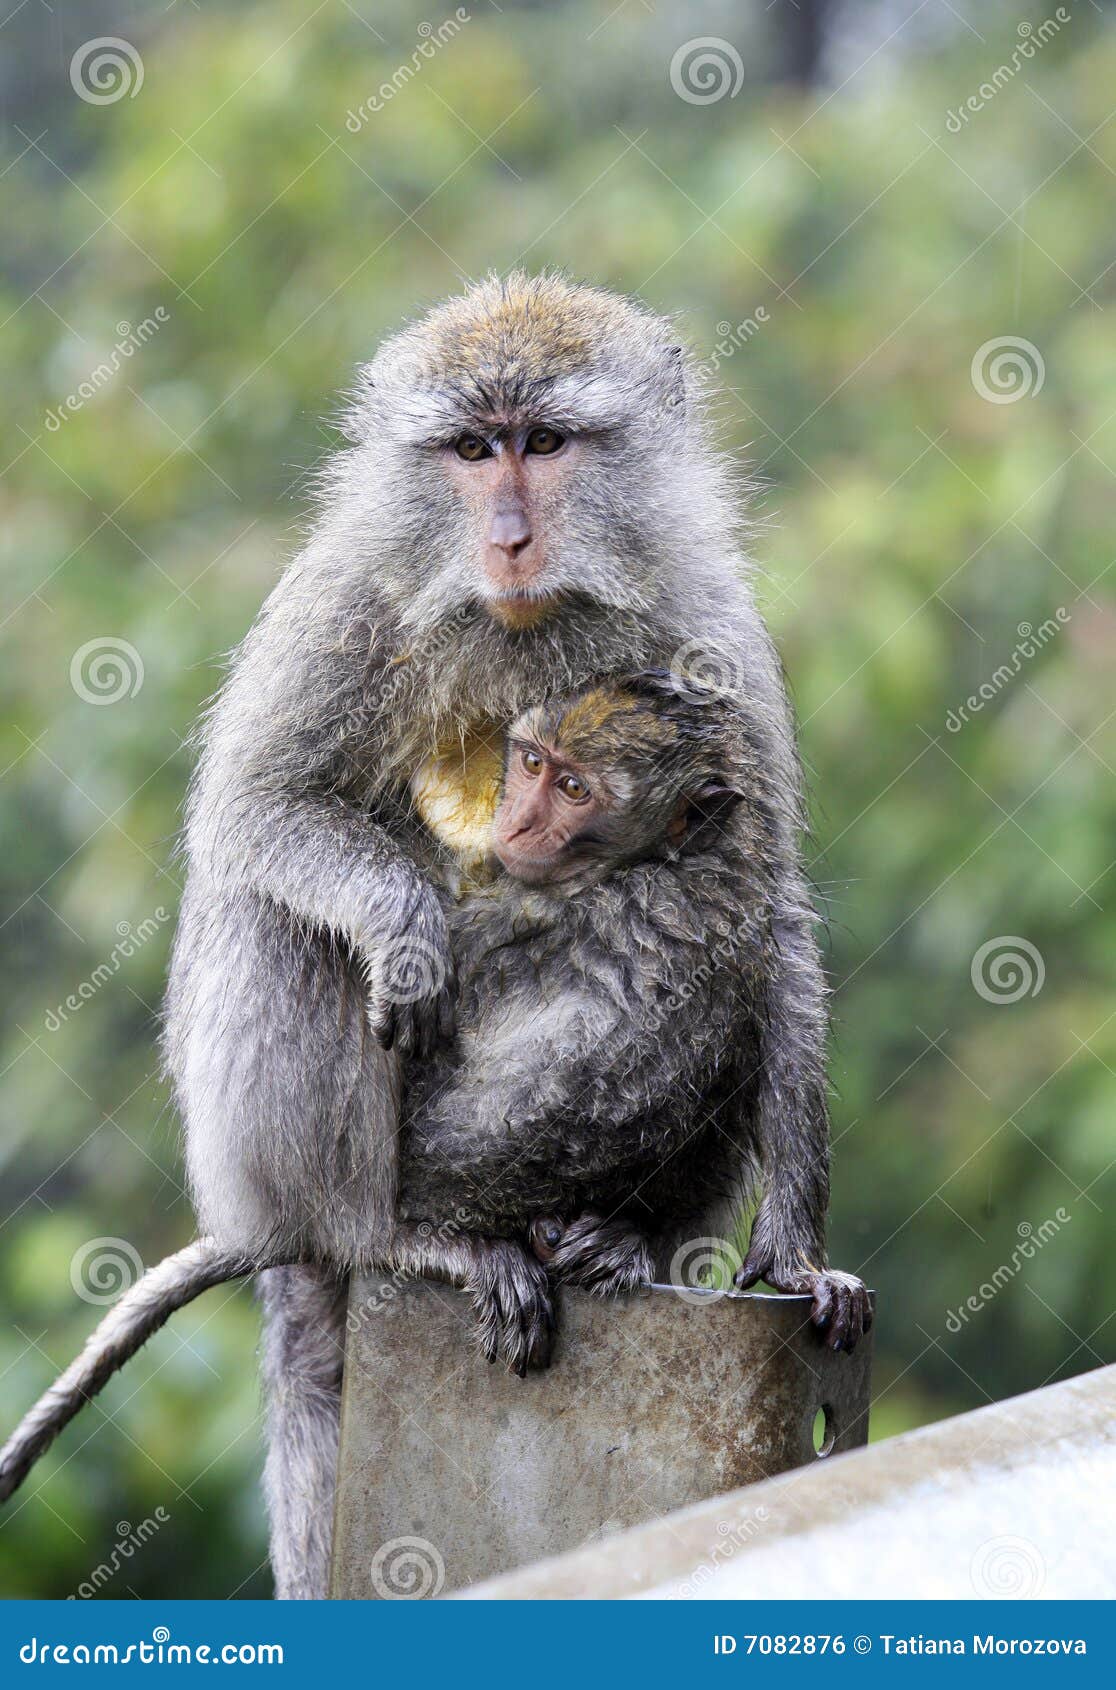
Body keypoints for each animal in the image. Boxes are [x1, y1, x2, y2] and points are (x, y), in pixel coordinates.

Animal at [6, 274, 859, 1597]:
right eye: (469, 449)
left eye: (544, 443)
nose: (507, 536)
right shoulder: (342, 601)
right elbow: (258, 816)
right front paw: (403, 924)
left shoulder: (710, 622)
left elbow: (764, 907)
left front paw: (793, 1244)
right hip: (274, 1164)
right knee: (287, 928)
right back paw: (409, 1238)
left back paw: (619, 1235)